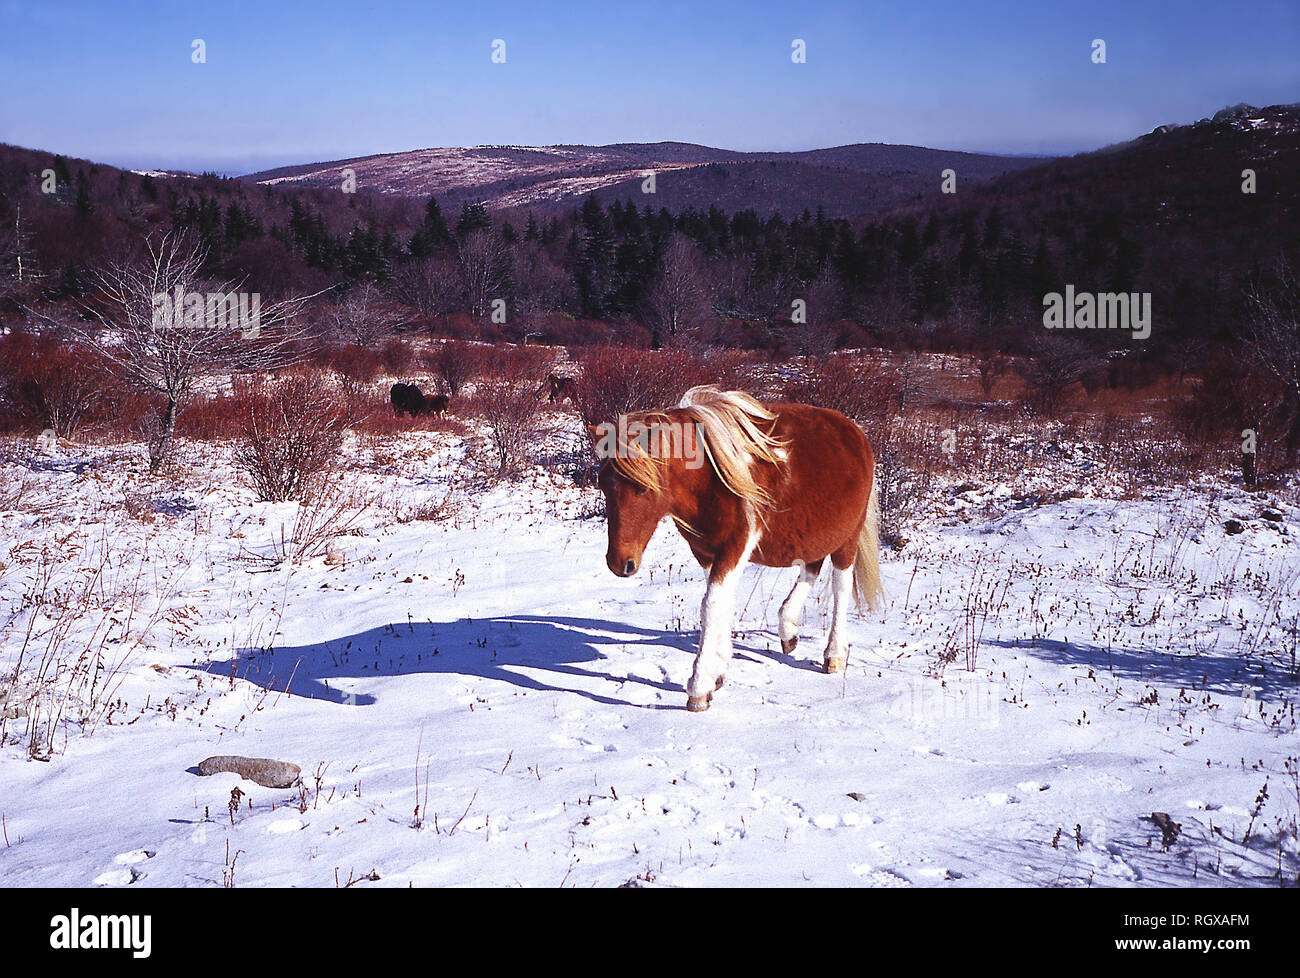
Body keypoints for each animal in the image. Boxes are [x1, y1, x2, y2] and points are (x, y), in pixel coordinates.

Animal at [591, 386, 883, 712]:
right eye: (603, 484)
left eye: (643, 488)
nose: (620, 562)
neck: (711, 480)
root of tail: (854, 431)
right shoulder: (708, 553)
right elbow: (722, 605)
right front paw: (717, 671)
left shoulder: (734, 548)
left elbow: (711, 606)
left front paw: (699, 685)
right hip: (815, 534)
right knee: (810, 569)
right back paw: (788, 629)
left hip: (847, 540)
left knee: (841, 588)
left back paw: (834, 654)